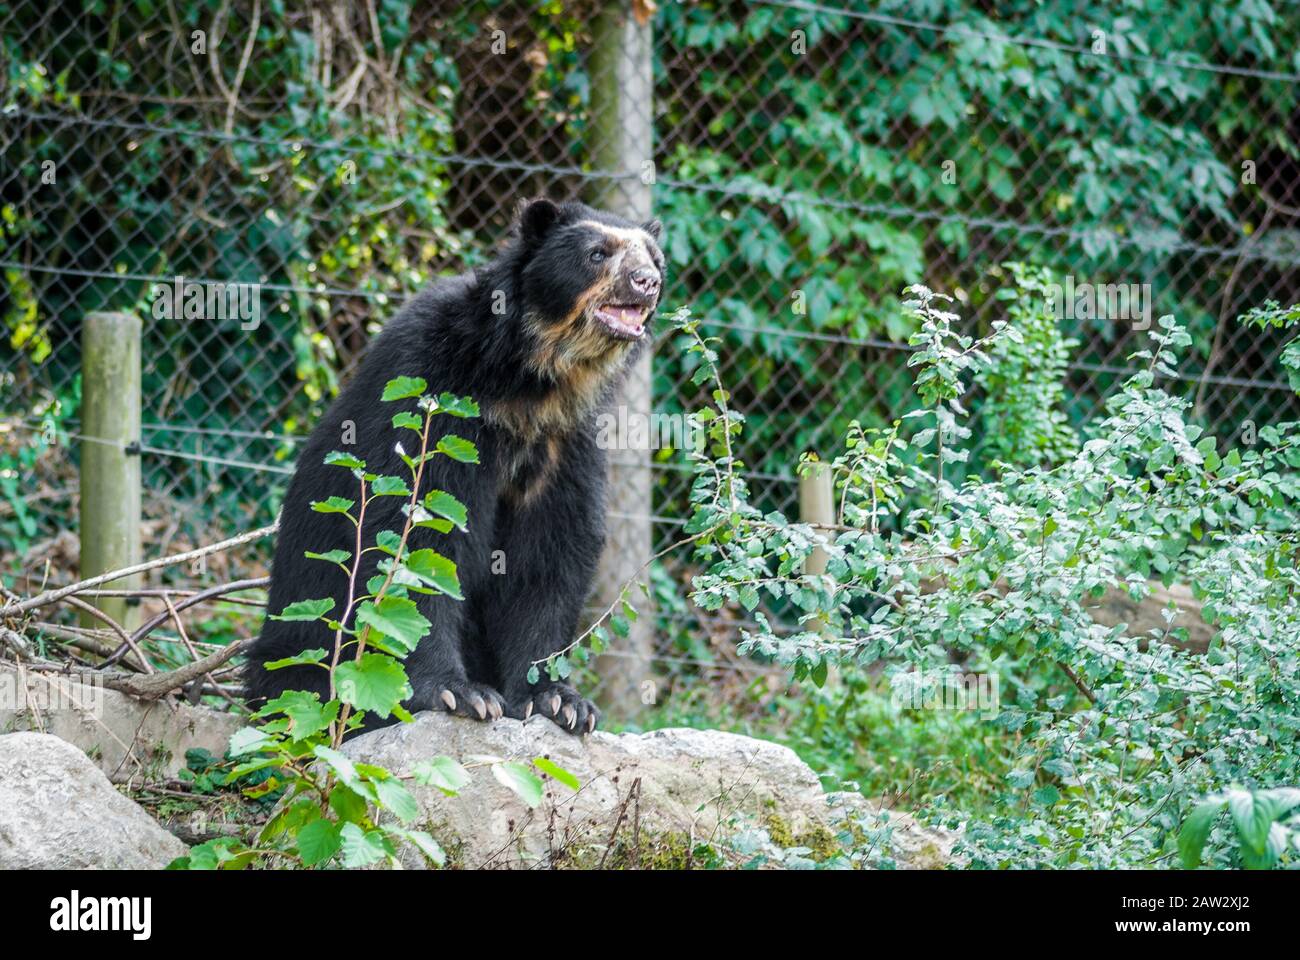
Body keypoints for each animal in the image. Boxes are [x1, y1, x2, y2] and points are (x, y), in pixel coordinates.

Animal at [244, 198, 665, 735]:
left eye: (654, 257)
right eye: (597, 254)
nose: (646, 281)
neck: (531, 383)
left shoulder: (564, 441)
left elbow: (552, 550)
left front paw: (560, 701)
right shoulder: (432, 397)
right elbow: (417, 534)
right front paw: (458, 694)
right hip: (302, 636)